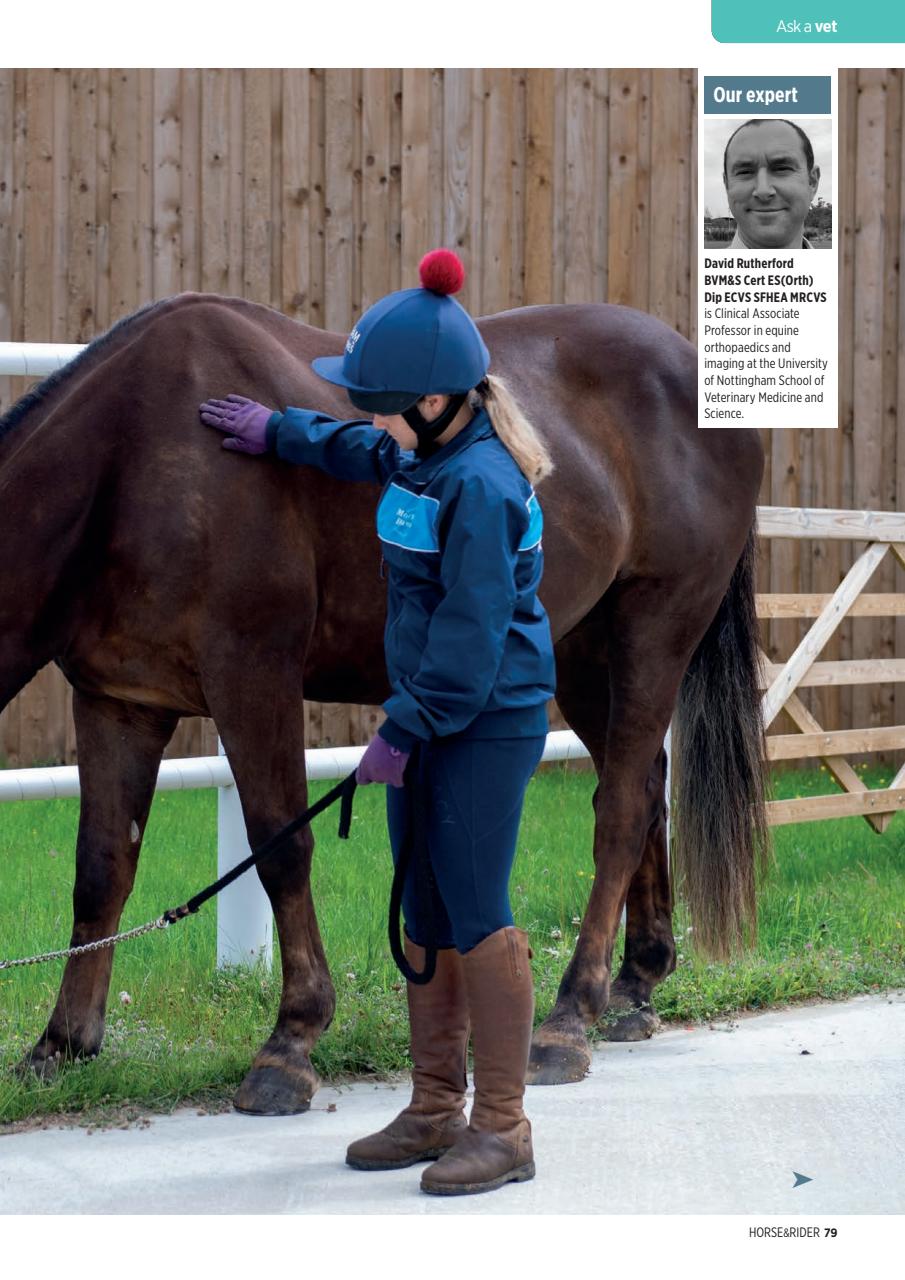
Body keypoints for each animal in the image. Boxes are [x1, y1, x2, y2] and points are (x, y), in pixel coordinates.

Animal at [0, 293, 766, 1114]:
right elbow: (101, 866)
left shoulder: (253, 676)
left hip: (653, 632)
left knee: (620, 812)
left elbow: (281, 848)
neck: (132, 453)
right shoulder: (118, 702)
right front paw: (60, 1044)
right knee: (645, 791)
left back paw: (568, 1019)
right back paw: (635, 982)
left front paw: (290, 1042)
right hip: (582, 655)